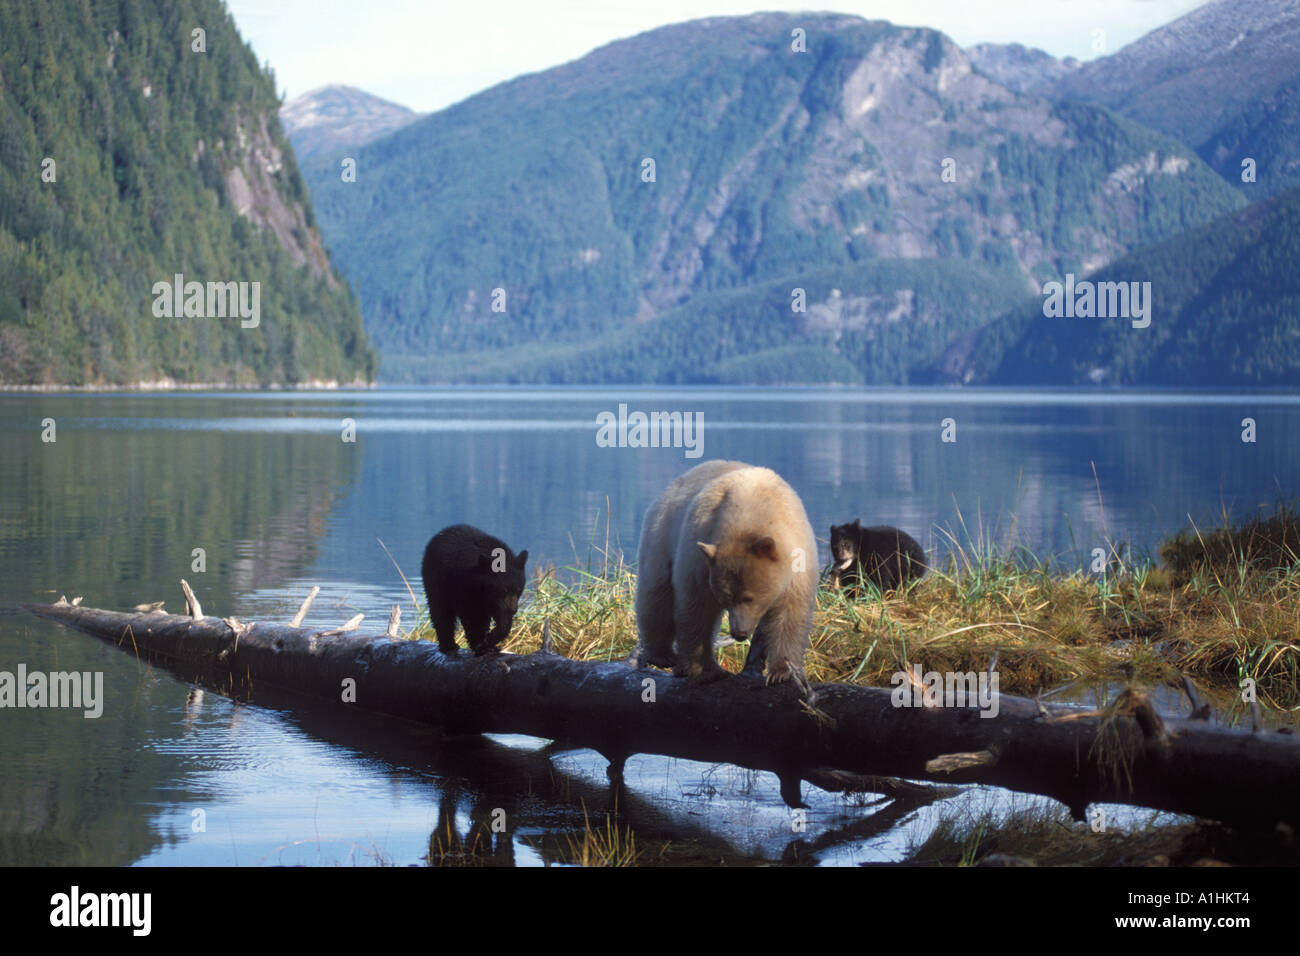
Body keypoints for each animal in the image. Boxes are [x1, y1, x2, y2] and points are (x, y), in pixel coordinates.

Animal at [421, 524, 528, 656]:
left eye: (518, 589)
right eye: (503, 590)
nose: (513, 610)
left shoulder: (495, 602)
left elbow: (502, 621)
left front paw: (490, 641)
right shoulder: (464, 588)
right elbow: (472, 617)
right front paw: (481, 645)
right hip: (437, 582)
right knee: (440, 611)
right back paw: (449, 645)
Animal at [628, 460, 818, 689]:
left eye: (749, 598)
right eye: (725, 599)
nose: (739, 633)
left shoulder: (798, 560)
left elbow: (790, 613)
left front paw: (782, 672)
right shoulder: (699, 554)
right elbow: (697, 609)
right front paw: (704, 670)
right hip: (661, 536)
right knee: (657, 595)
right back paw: (662, 655)